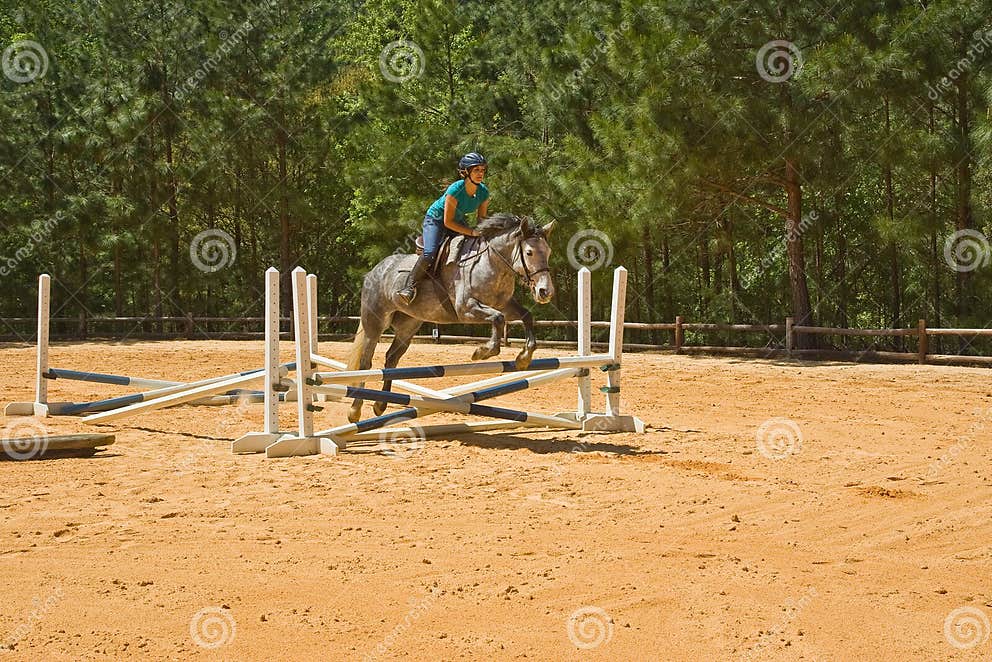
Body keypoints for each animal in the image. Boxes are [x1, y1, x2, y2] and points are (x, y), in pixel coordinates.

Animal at [344, 213, 557, 423]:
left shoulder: (504, 305)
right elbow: (498, 319)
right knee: (366, 362)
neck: (490, 263)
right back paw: (355, 410)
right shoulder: (466, 309)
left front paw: (523, 358)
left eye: (548, 252)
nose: (545, 292)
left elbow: (526, 316)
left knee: (391, 358)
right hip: (375, 322)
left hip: (408, 326)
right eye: (529, 253)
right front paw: (482, 352)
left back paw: (380, 405)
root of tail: (374, 270)